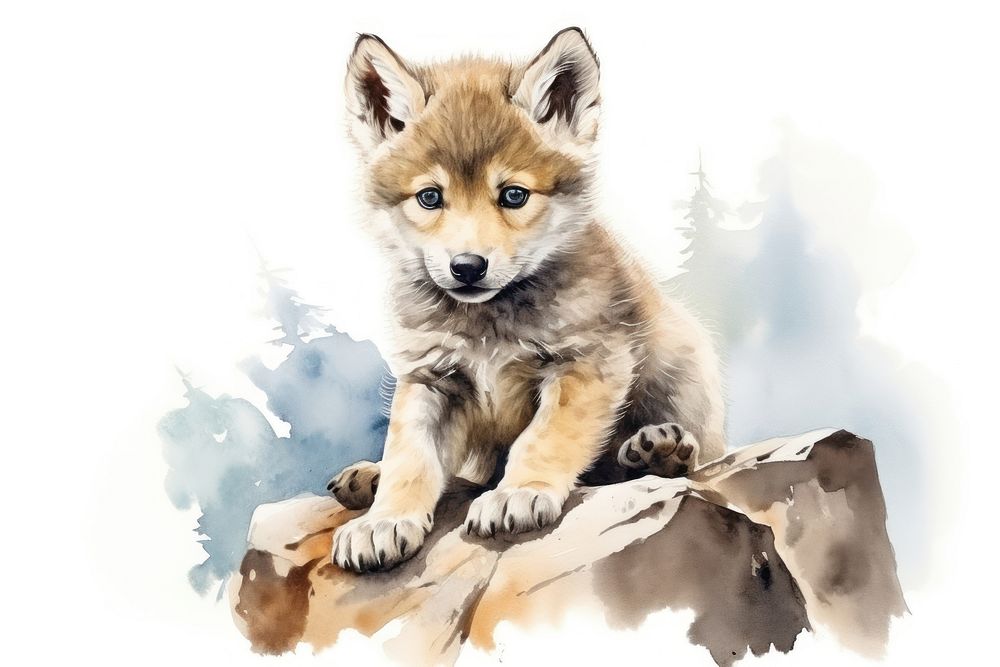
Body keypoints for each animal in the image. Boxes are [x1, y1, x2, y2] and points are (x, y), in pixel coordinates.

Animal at [327, 28, 725, 572]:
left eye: (513, 195)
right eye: (430, 197)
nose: (467, 266)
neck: (487, 325)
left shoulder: (587, 362)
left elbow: (544, 439)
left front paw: (518, 492)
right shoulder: (430, 378)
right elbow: (410, 457)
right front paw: (385, 520)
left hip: (685, 370)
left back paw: (660, 450)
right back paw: (369, 476)